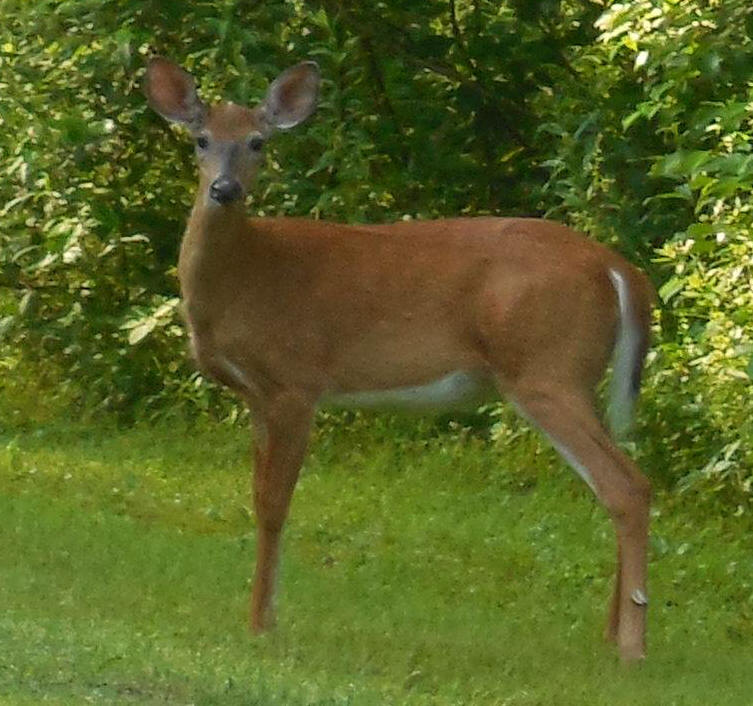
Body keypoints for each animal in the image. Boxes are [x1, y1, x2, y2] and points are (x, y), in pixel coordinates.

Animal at [144, 56, 655, 663]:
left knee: (626, 486)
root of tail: (619, 268)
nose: (224, 189)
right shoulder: (256, 397)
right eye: (201, 139)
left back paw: (631, 647)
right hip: (569, 375)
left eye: (257, 142)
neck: (244, 280)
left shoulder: (296, 380)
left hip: (547, 369)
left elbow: (274, 506)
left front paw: (261, 625)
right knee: (617, 484)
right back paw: (610, 635)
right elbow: (256, 497)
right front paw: (258, 618)